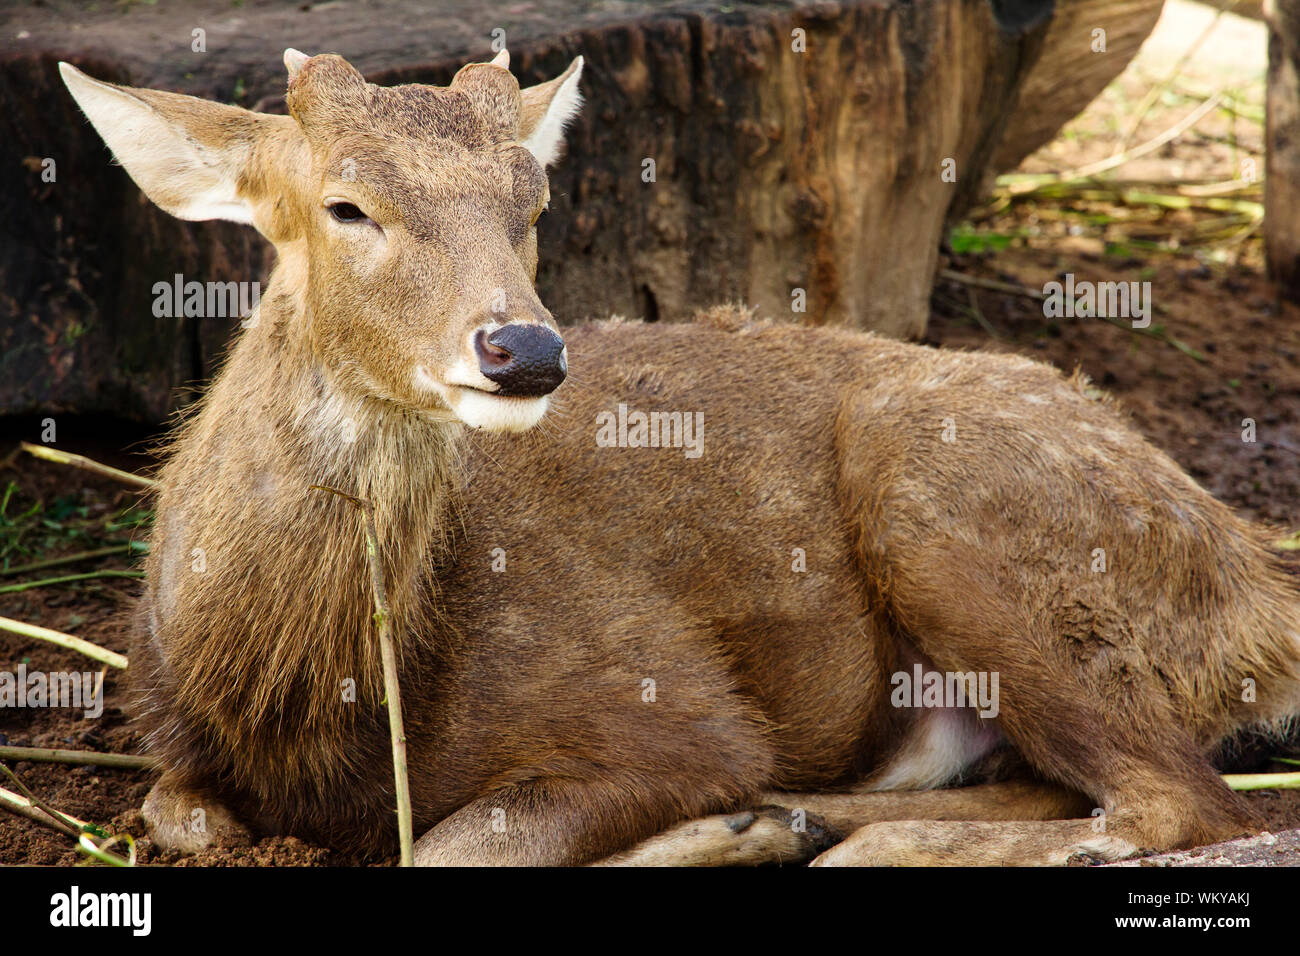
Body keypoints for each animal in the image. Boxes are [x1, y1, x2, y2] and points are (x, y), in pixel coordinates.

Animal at [57, 46, 1300, 866]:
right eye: (344, 204)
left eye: (534, 202)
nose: (524, 348)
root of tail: (1255, 580)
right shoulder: (162, 733)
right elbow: (178, 814)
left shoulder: (669, 700)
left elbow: (451, 846)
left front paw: (722, 820)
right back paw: (797, 822)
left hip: (946, 502)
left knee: (1180, 805)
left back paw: (816, 835)